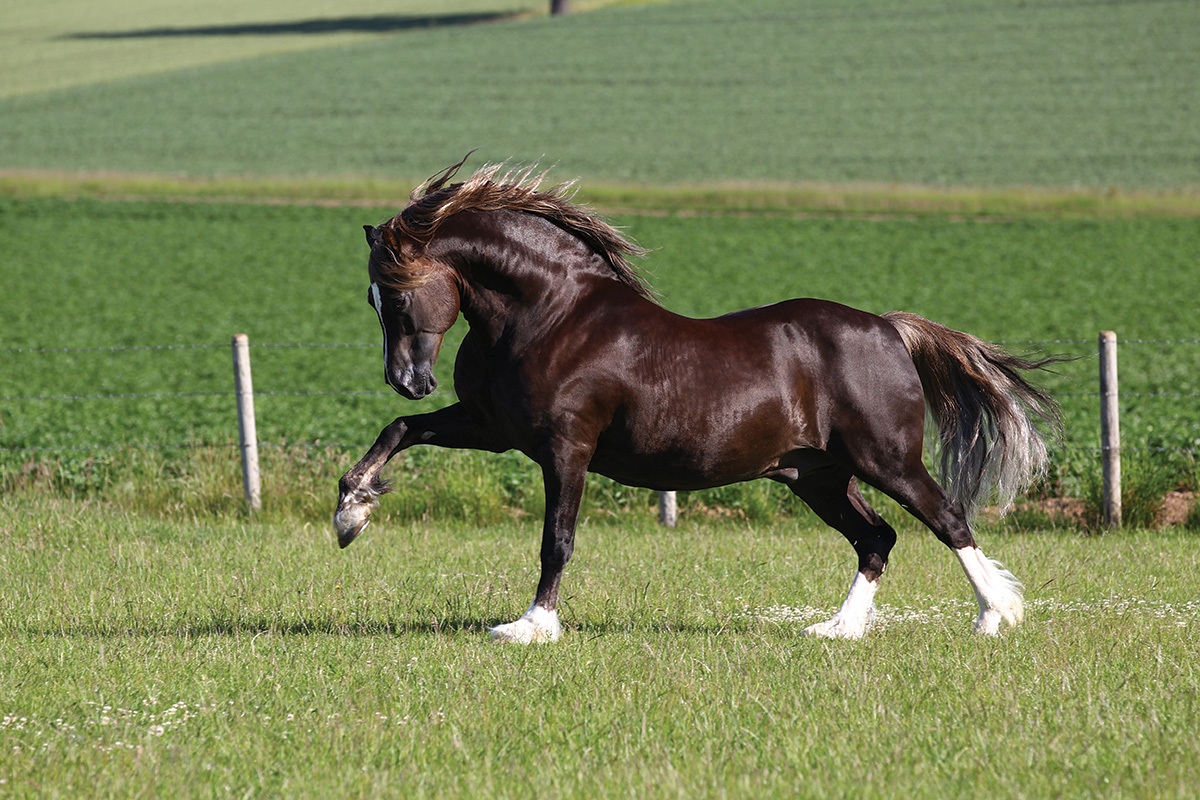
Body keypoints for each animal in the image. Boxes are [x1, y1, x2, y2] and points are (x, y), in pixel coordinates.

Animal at [333, 157, 1060, 642]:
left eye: (396, 292)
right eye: (370, 298)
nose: (409, 378)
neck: (549, 312)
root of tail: (888, 328)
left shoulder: (566, 447)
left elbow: (556, 539)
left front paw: (531, 626)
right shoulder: (492, 427)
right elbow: (398, 430)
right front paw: (351, 514)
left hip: (886, 460)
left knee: (948, 520)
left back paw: (994, 616)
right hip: (817, 475)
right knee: (877, 537)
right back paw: (836, 629)